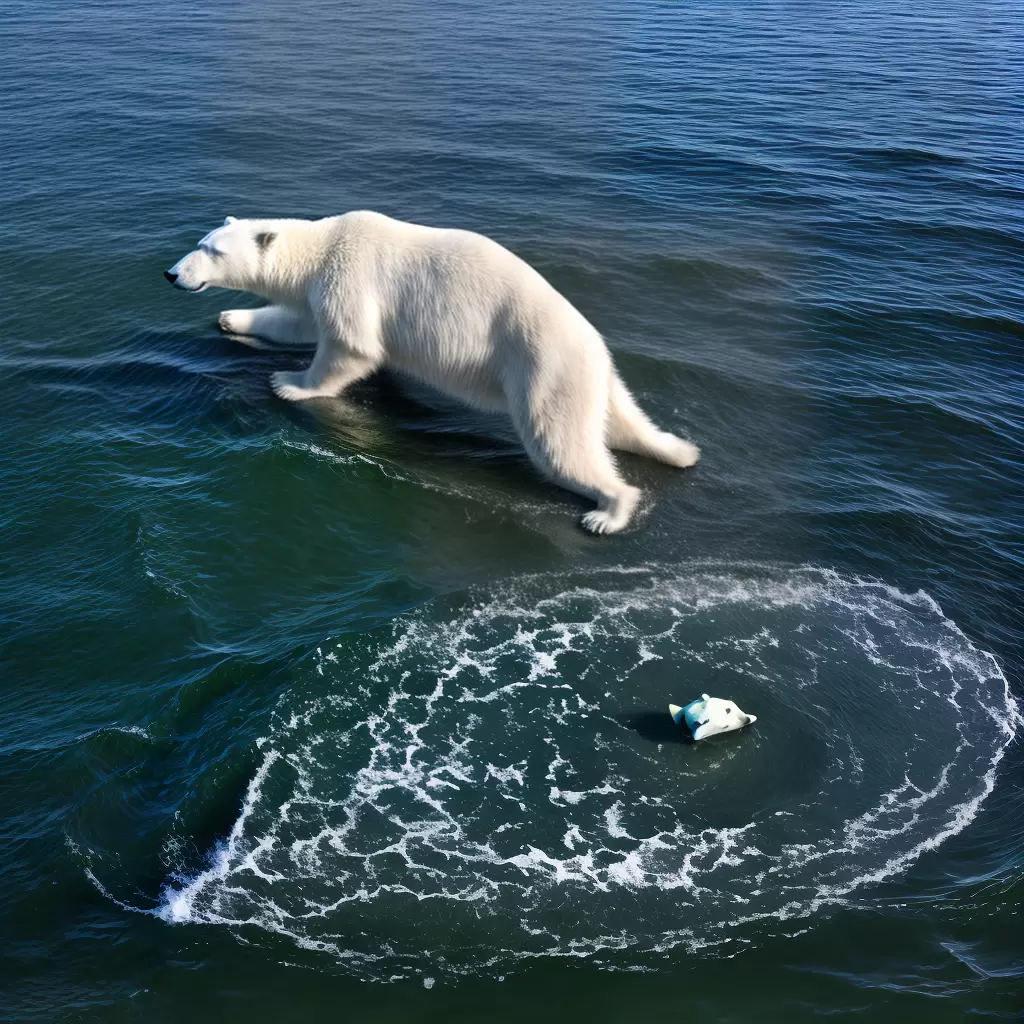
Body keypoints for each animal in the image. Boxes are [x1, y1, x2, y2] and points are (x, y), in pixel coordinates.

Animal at [165, 212, 700, 534]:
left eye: (212, 251)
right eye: (201, 241)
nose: (172, 274)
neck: (323, 246)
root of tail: (597, 352)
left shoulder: (349, 282)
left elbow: (350, 349)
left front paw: (290, 384)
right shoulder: (319, 290)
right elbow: (297, 321)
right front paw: (233, 318)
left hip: (543, 366)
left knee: (560, 444)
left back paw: (608, 511)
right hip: (591, 380)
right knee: (620, 424)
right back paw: (678, 451)